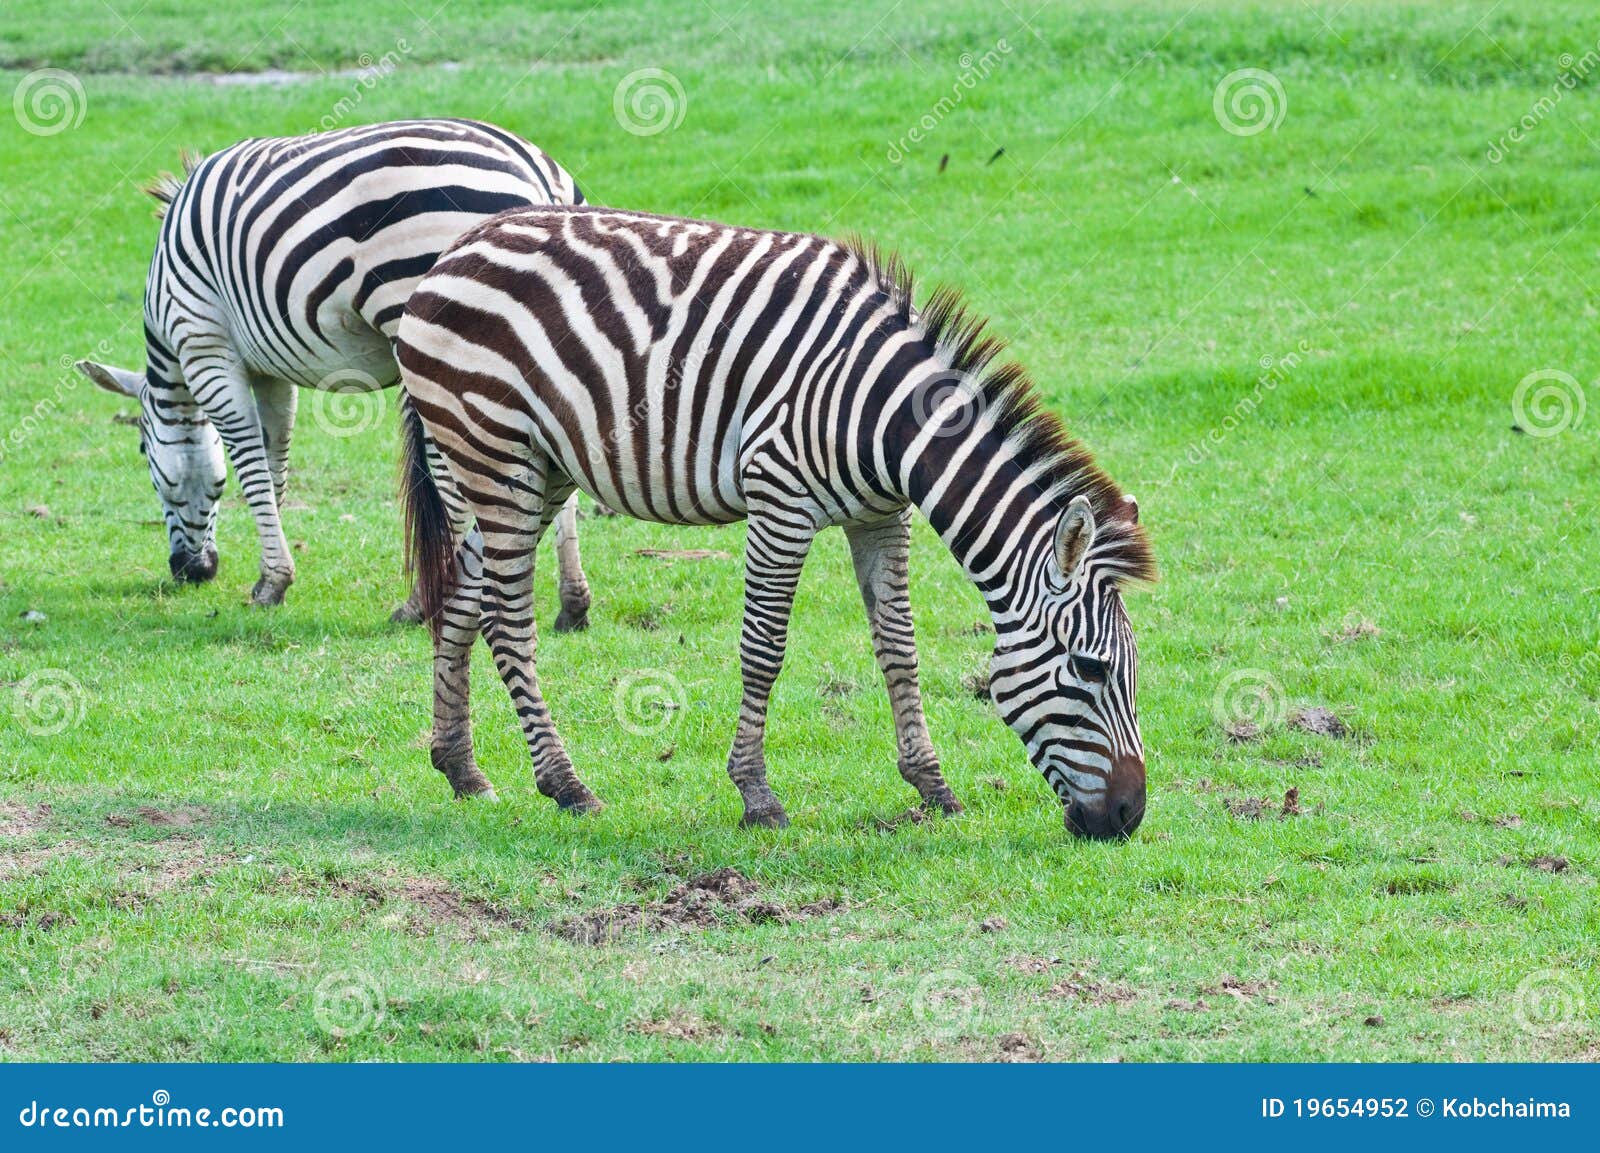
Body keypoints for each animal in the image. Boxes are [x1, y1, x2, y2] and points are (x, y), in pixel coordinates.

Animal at [75, 118, 591, 628]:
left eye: (143, 454)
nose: (190, 571)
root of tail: (534, 170)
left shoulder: (206, 348)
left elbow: (247, 461)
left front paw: (272, 583)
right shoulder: (270, 367)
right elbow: (275, 460)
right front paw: (269, 569)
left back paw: (422, 604)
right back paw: (571, 604)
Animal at [396, 205, 1156, 838]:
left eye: (1130, 671)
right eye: (1089, 669)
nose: (1127, 817)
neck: (887, 419)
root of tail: (456, 249)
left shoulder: (883, 516)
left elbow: (899, 648)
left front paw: (932, 785)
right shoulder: (780, 499)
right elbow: (763, 650)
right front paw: (757, 796)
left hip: (535, 468)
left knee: (462, 596)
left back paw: (461, 767)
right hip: (496, 453)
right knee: (507, 622)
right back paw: (566, 784)